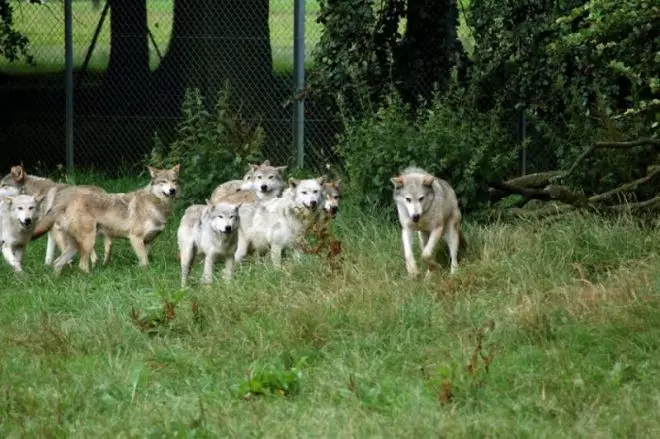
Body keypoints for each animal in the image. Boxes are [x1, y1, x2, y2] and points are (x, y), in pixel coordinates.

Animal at [32, 166, 179, 276]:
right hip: (88, 242)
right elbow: (145, 263)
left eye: (174, 181)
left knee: (57, 263)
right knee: (82, 266)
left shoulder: (148, 241)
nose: (173, 190)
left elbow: (145, 261)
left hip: (75, 247)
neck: (157, 206)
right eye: (163, 181)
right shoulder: (135, 238)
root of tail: (66, 201)